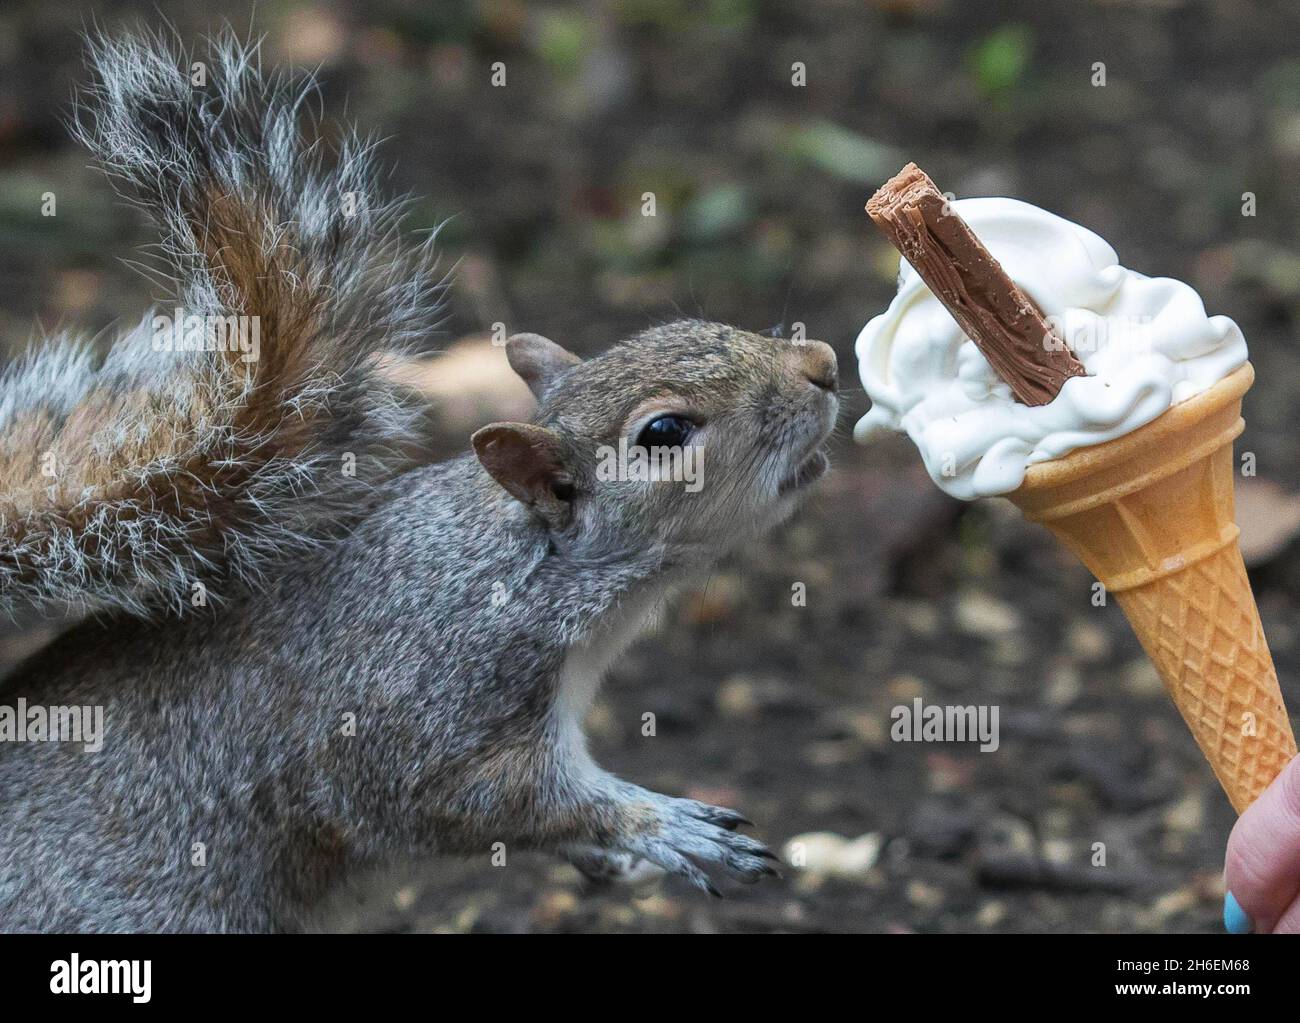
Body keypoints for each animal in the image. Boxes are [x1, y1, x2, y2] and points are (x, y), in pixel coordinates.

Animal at [0, 31, 839, 932]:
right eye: (665, 434)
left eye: (692, 323)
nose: (824, 364)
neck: (533, 573)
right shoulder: (422, 711)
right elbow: (468, 800)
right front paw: (657, 826)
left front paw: (607, 855)